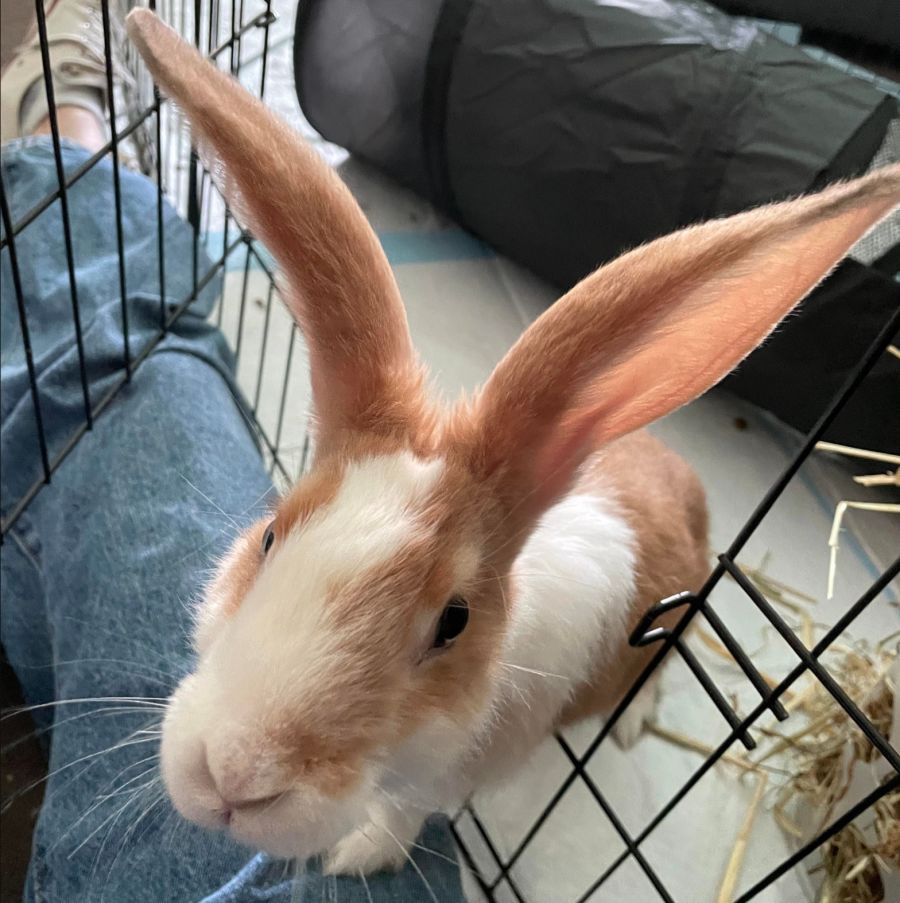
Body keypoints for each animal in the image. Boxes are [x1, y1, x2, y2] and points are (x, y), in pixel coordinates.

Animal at [127, 9, 900, 876]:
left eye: (453, 621)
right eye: (269, 535)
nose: (232, 773)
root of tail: (687, 480)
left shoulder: (438, 781)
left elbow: (401, 816)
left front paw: (353, 857)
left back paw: (632, 720)